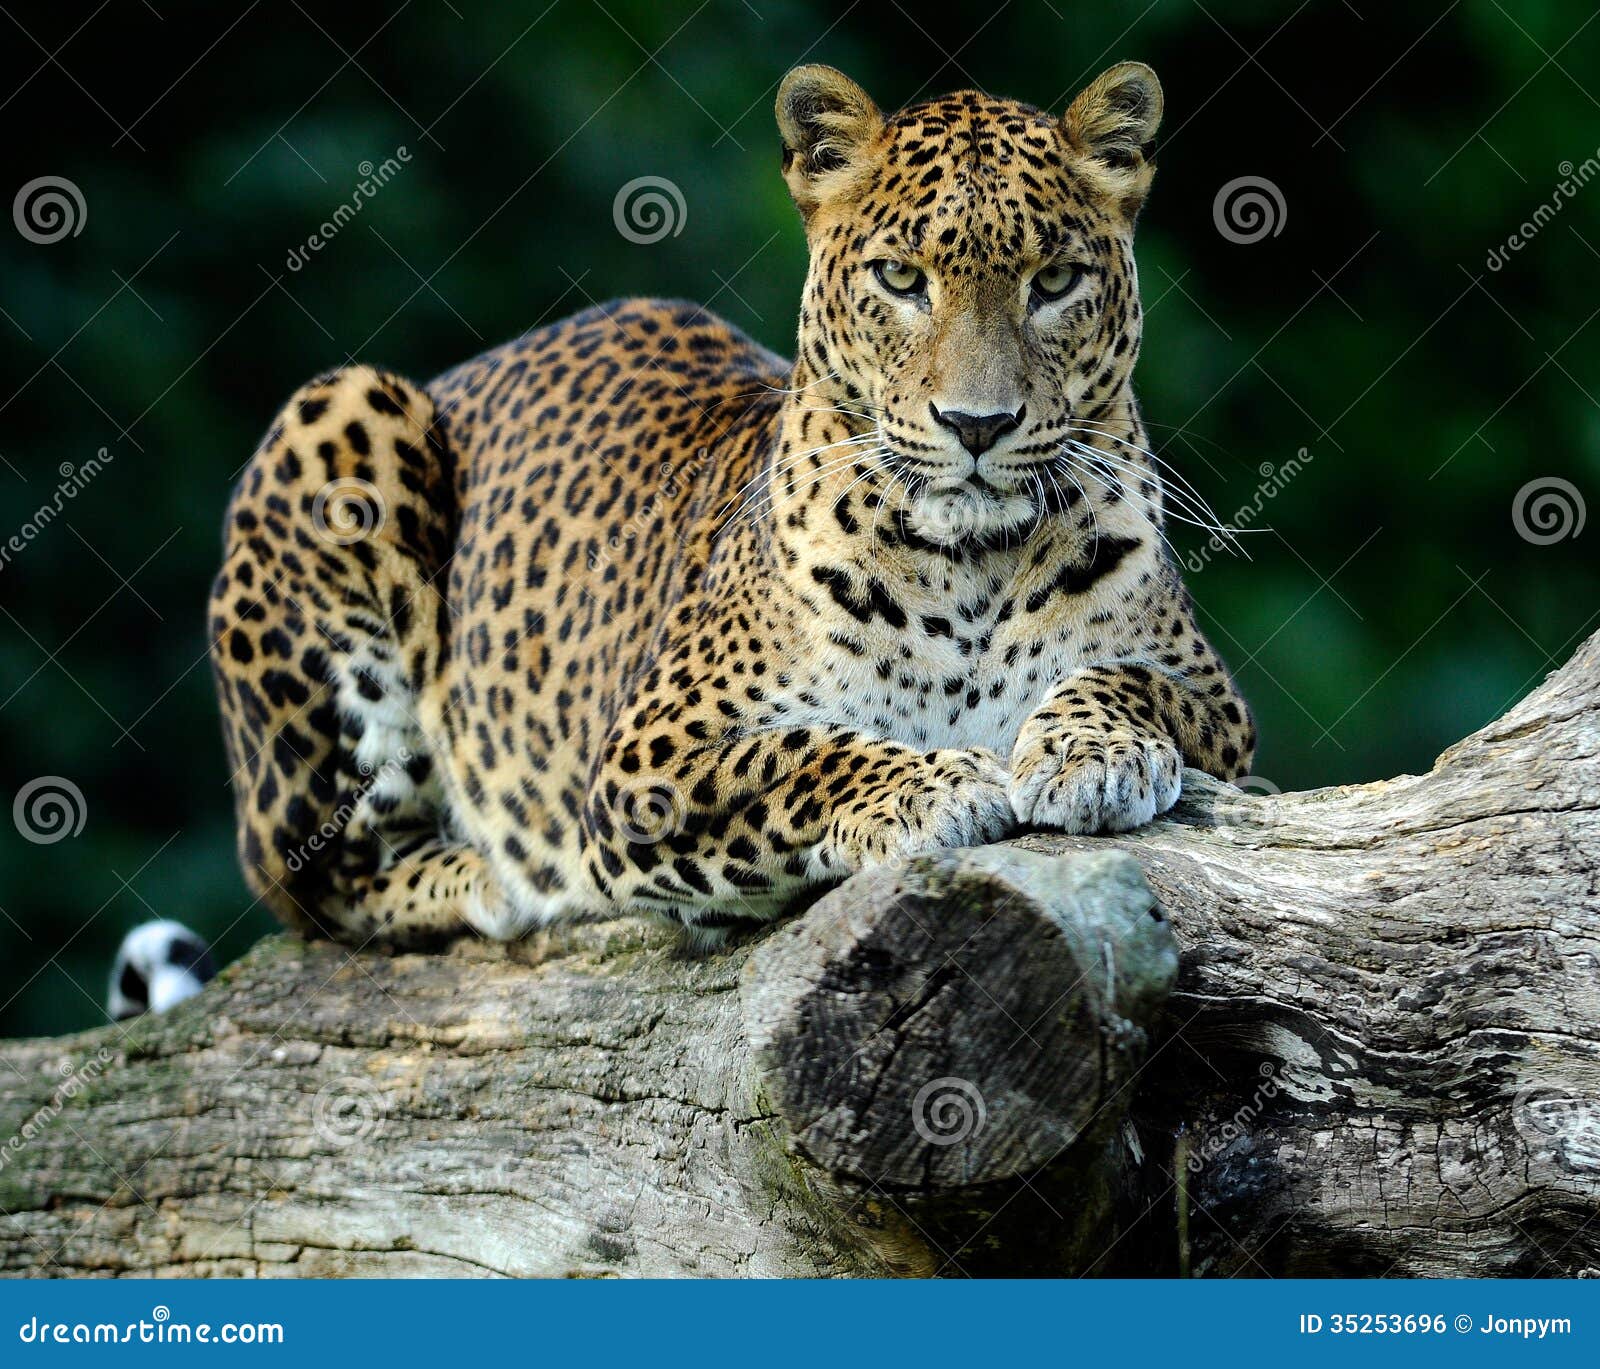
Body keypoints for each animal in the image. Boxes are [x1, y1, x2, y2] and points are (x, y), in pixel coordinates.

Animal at [209, 61, 1256, 950]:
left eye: (1056, 282)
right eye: (901, 279)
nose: (977, 424)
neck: (971, 566)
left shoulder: (1220, 710)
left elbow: (1129, 679)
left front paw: (1092, 751)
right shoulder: (645, 760)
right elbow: (799, 753)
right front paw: (935, 783)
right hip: (340, 414)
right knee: (311, 880)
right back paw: (486, 877)